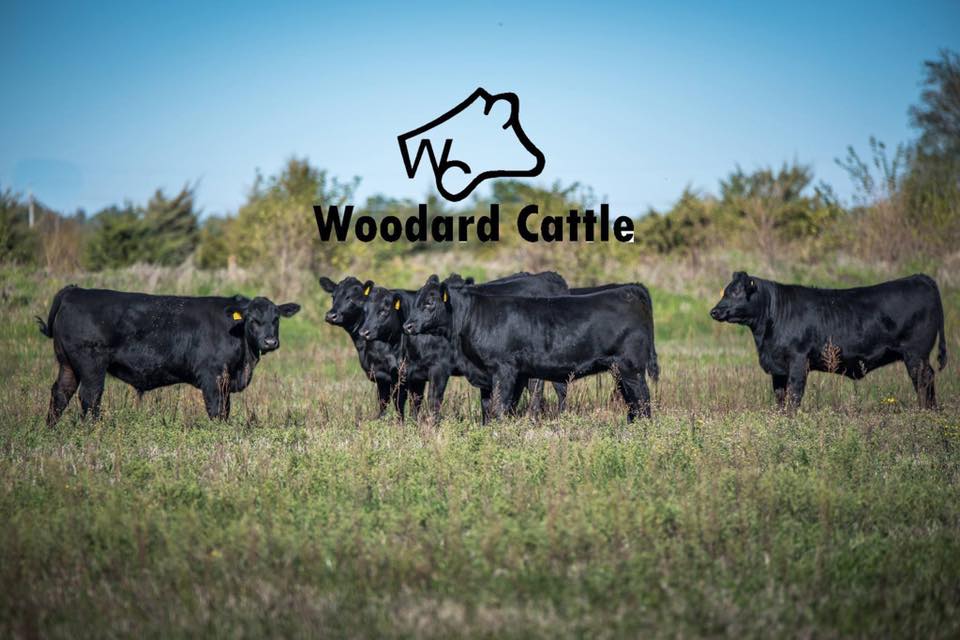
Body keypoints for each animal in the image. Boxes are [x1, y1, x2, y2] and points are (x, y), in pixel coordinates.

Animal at [37, 286, 300, 425]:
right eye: (253, 320)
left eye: (276, 319)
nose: (270, 341)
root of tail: (75, 291)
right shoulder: (212, 377)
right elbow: (216, 410)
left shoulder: (226, 380)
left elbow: (225, 411)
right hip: (91, 365)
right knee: (90, 397)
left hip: (68, 364)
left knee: (61, 393)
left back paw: (51, 429)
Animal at [403, 275, 658, 423]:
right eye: (415, 302)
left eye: (430, 303)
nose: (408, 325)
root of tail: (629, 290)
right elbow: (493, 407)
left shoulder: (503, 369)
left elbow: (499, 407)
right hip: (619, 369)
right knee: (632, 402)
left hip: (631, 368)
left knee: (643, 399)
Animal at [709, 271, 948, 409]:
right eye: (725, 291)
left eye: (737, 292)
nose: (714, 311)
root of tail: (919, 277)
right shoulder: (778, 368)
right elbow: (780, 397)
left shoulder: (798, 361)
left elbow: (794, 395)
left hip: (915, 354)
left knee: (924, 379)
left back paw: (925, 410)